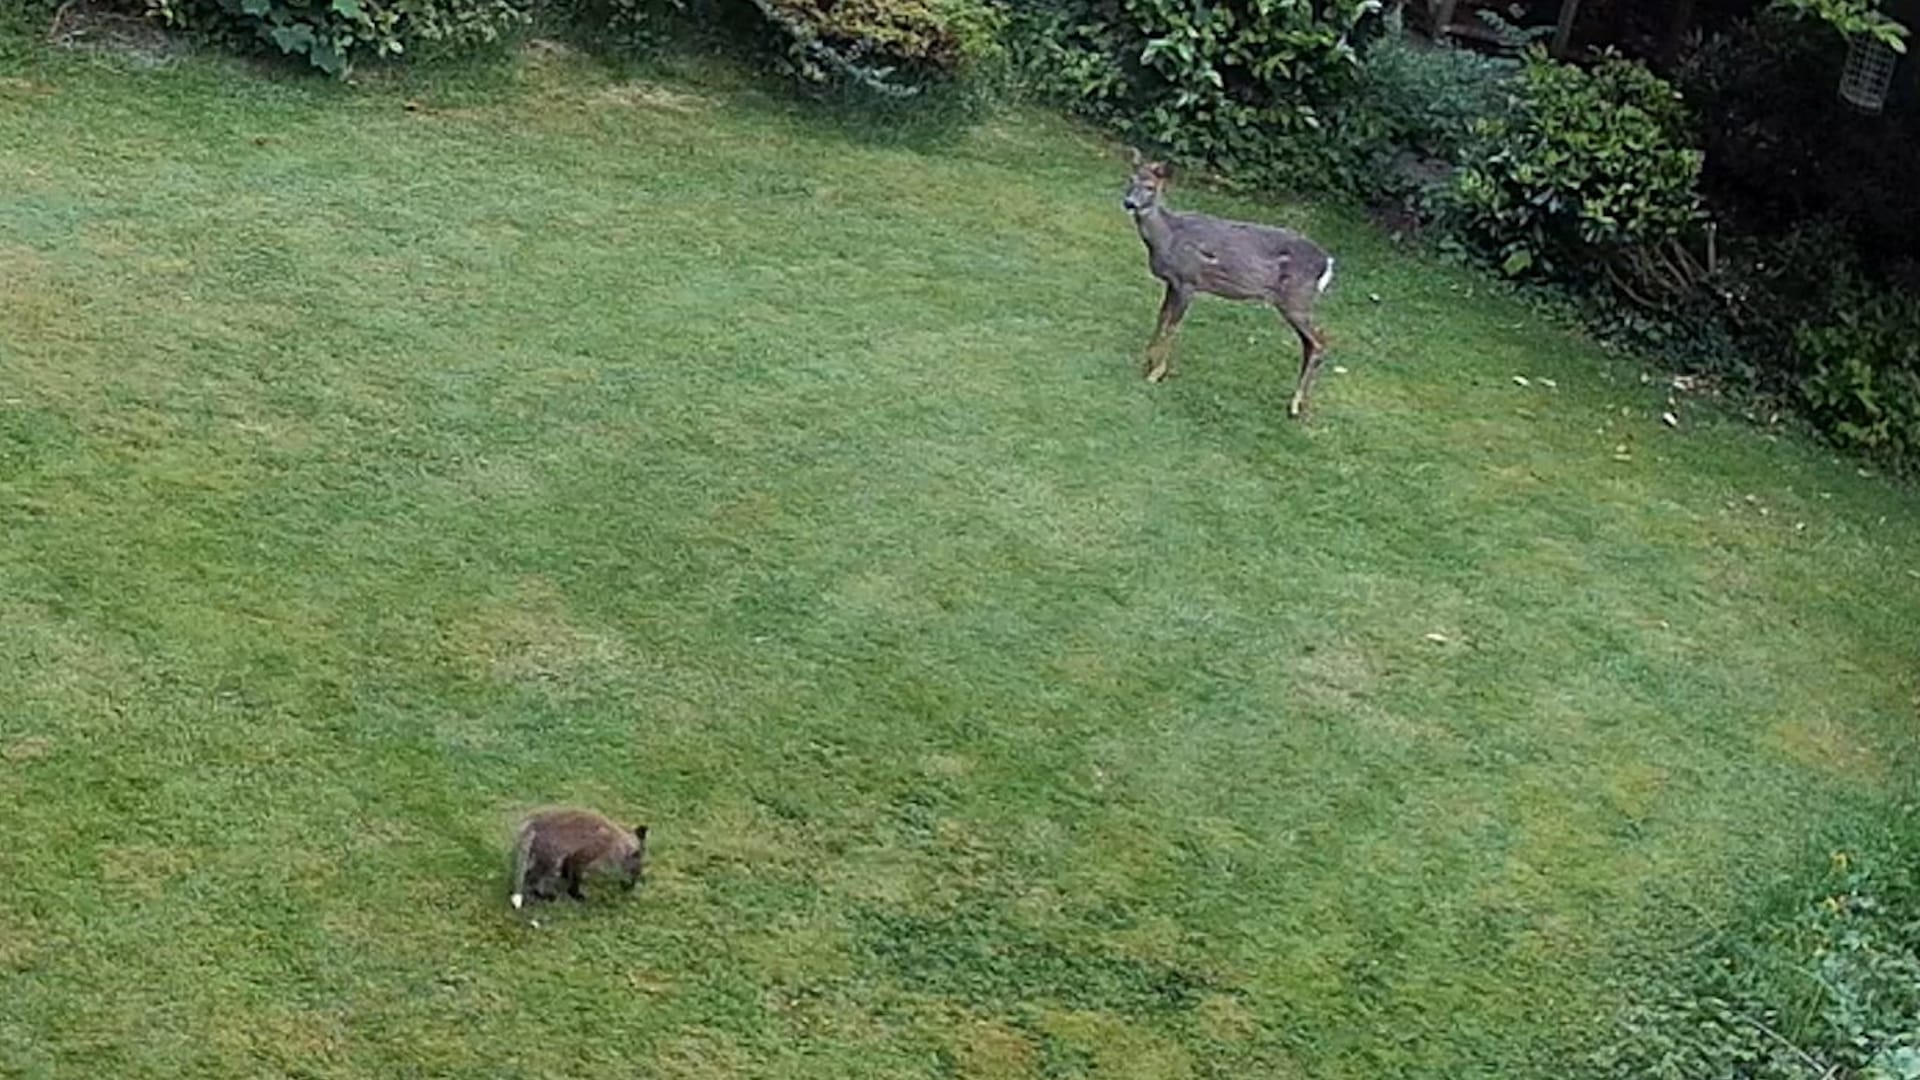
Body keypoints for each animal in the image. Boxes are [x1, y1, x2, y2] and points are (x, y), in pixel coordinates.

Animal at [509, 808, 648, 909]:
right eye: (635, 872)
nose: (630, 888)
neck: (615, 842)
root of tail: (532, 822)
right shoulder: (581, 857)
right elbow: (576, 880)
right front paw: (576, 895)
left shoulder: (571, 855)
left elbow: (568, 873)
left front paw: (566, 880)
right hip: (551, 860)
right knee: (531, 879)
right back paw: (540, 897)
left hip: (542, 858)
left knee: (530, 875)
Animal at [1121, 150, 1336, 419]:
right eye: (1130, 179)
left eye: (1150, 186)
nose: (1129, 203)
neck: (1169, 238)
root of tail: (1327, 263)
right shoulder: (1173, 282)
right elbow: (1161, 317)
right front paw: (1147, 361)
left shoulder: (1188, 280)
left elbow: (1172, 326)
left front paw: (1156, 373)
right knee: (1311, 343)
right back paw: (1301, 403)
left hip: (1297, 299)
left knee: (1319, 341)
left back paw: (1295, 405)